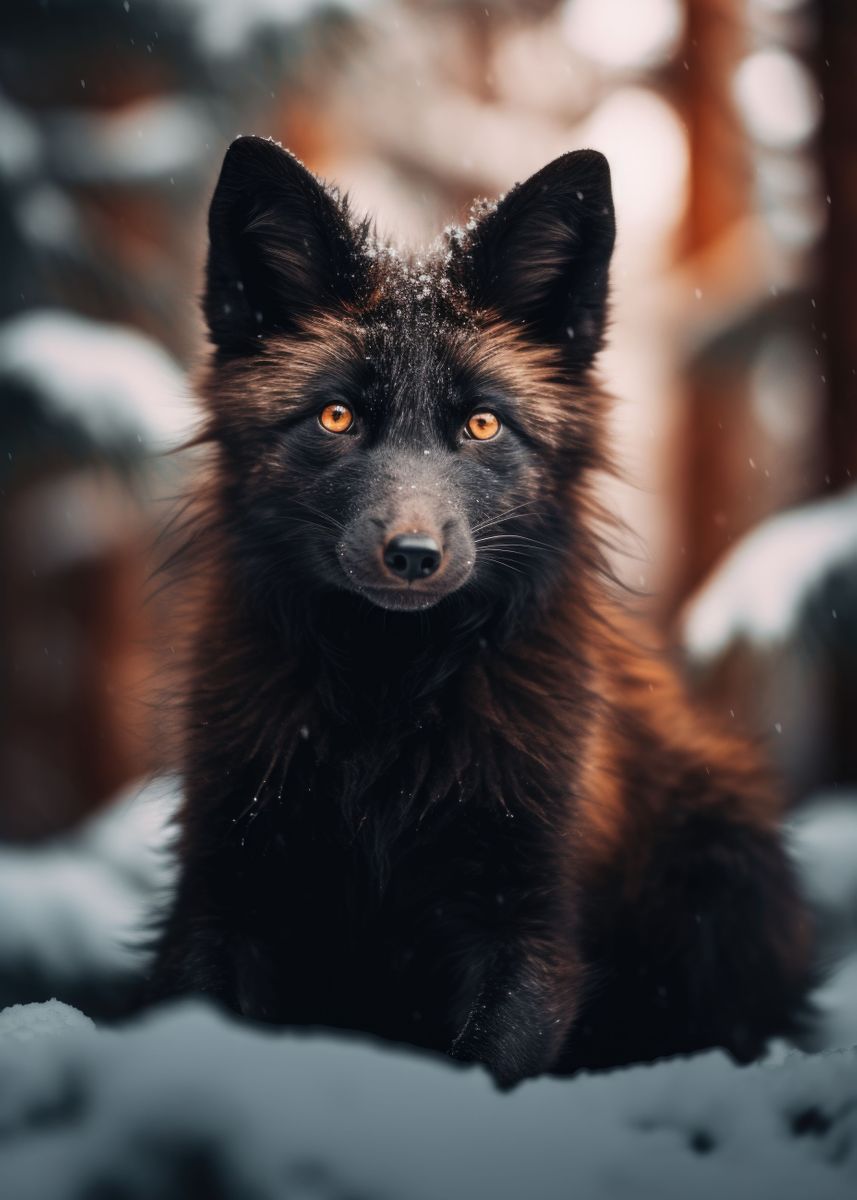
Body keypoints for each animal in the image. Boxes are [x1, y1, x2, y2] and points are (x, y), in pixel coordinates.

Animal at [151, 136, 812, 1087]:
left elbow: (488, 1065)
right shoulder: (223, 885)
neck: (386, 701)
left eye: (483, 426)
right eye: (337, 417)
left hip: (727, 864)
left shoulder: (525, 920)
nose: (413, 556)